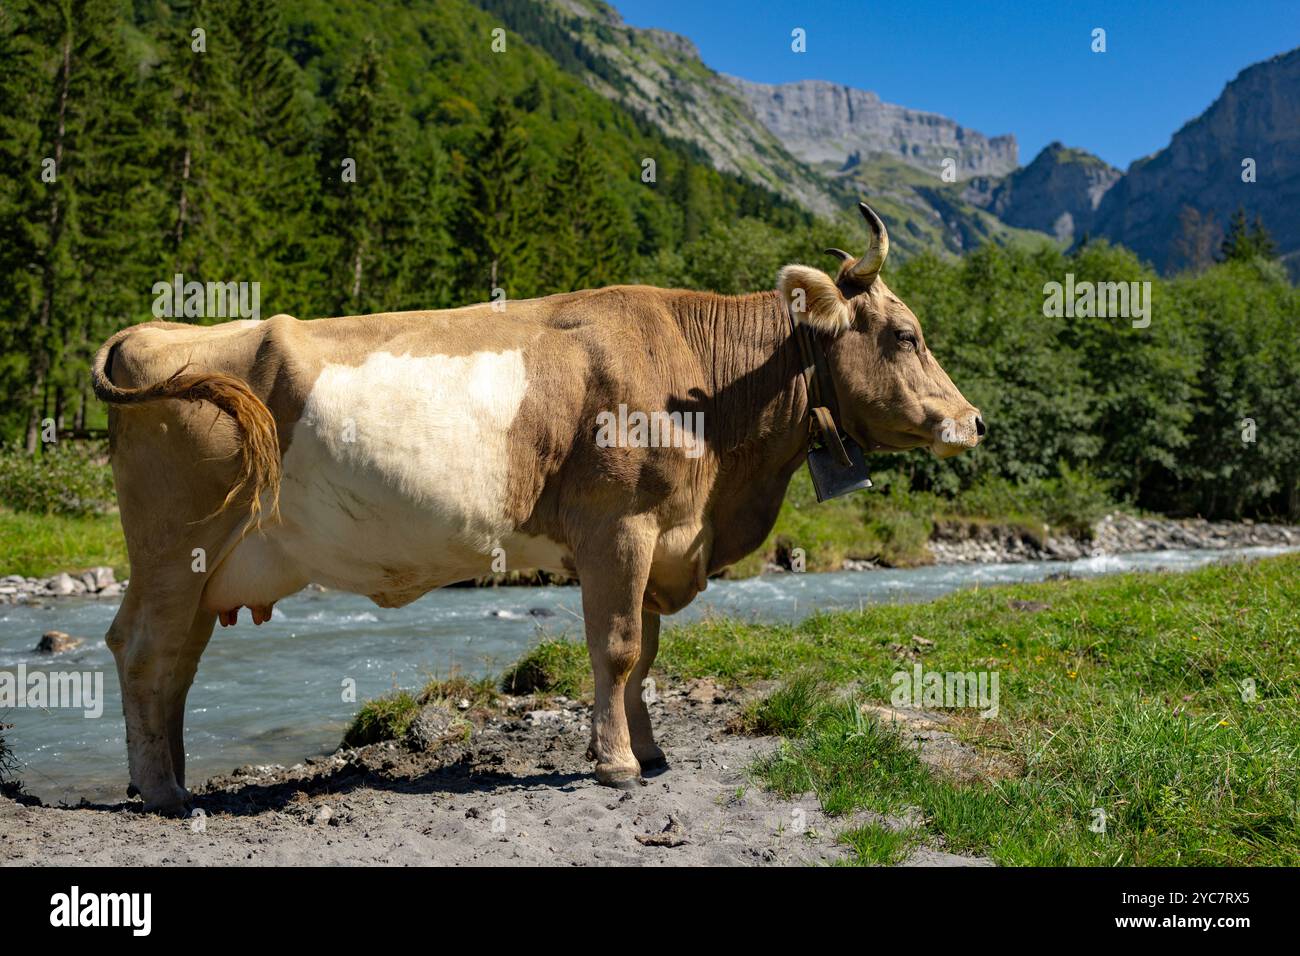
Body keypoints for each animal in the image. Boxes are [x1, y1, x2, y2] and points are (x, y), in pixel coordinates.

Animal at [91, 202, 983, 812]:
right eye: (905, 334)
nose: (974, 420)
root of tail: (152, 332)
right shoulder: (619, 526)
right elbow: (618, 650)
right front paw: (616, 764)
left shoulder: (656, 538)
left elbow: (645, 655)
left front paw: (648, 752)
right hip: (175, 545)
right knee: (143, 650)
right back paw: (162, 792)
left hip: (207, 564)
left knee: (176, 661)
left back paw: (168, 779)